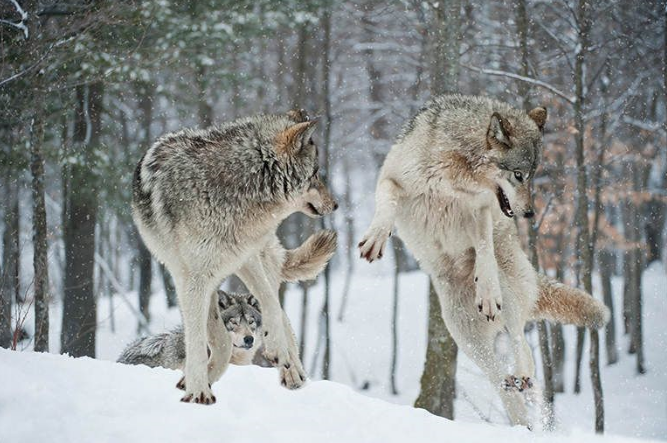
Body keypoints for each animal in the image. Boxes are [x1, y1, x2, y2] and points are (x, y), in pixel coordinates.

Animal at [132, 109, 337, 404]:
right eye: (317, 173)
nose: (336, 205)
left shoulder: (245, 258)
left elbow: (270, 307)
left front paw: (275, 349)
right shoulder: (192, 279)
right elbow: (204, 340)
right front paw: (198, 390)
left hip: (254, 262)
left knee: (280, 311)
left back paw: (292, 371)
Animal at [359, 94, 609, 426]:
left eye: (533, 174)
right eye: (519, 175)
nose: (529, 213)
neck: (453, 174)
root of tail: (534, 278)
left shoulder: (480, 210)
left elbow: (484, 249)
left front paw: (486, 290)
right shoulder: (391, 178)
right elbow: (386, 203)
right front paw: (376, 236)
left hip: (508, 295)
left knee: (522, 344)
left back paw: (523, 375)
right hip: (465, 337)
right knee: (502, 380)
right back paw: (518, 407)